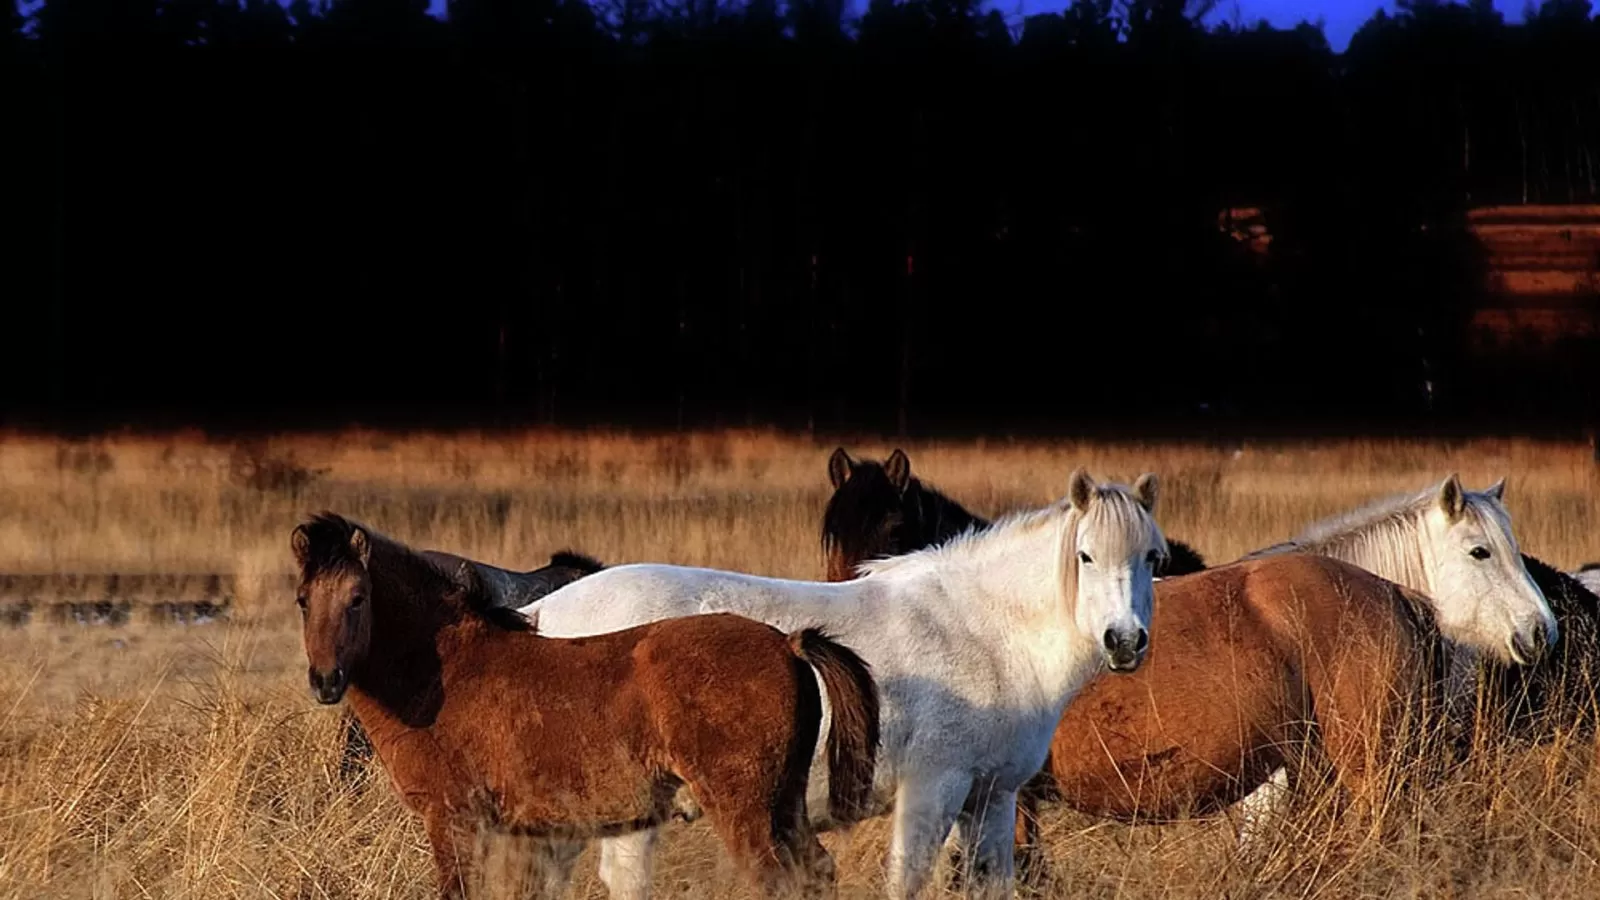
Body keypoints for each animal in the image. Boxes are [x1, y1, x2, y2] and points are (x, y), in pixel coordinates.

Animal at [294, 512, 883, 896]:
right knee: (818, 873)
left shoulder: (453, 819)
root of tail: (787, 644)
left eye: (358, 598)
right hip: (784, 806)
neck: (444, 673)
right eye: (303, 601)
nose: (325, 681)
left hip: (746, 813)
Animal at [518, 470, 1171, 896]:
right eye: (1085, 556)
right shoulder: (931, 790)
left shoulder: (992, 799)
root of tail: (541, 614)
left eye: (1151, 559)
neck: (983, 628)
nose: (1125, 641)